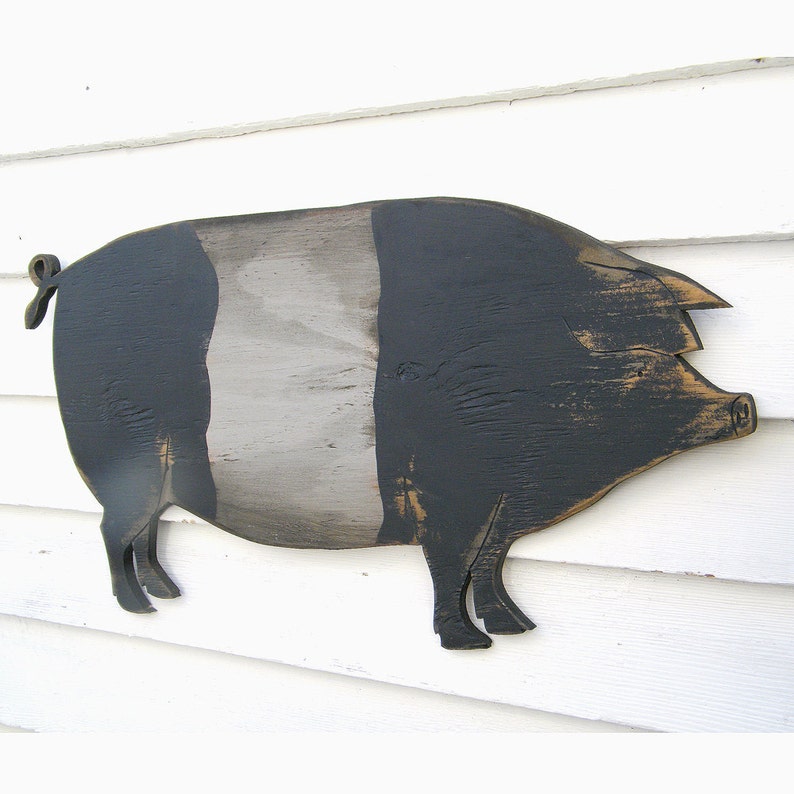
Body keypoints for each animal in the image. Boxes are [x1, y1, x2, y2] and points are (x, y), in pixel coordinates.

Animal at [25, 198, 756, 649]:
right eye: (641, 358)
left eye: (685, 349)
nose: (745, 406)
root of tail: (65, 277)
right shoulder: (451, 497)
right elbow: (451, 568)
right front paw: (468, 643)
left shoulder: (501, 507)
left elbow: (489, 568)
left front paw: (515, 630)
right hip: (122, 460)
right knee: (110, 532)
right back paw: (142, 608)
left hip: (156, 478)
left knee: (145, 533)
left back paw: (167, 594)